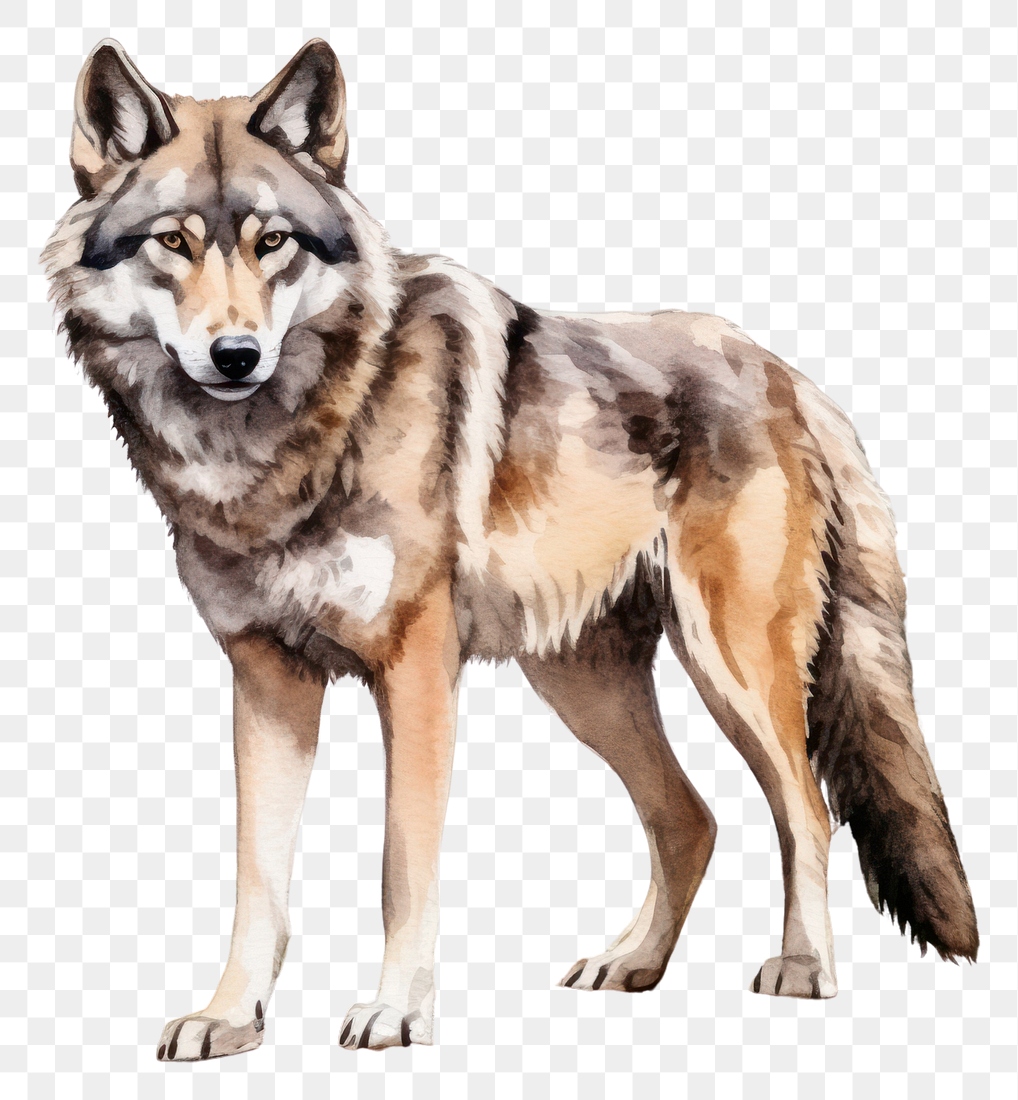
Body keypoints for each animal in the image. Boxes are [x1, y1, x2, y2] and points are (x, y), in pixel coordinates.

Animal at [43, 38, 979, 1058]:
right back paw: (631, 963)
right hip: (581, 683)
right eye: (172, 242)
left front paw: (395, 1013)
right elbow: (260, 877)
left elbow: (401, 864)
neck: (285, 446)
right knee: (690, 817)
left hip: (730, 668)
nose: (237, 355)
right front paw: (231, 1018)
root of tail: (791, 377)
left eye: (273, 242)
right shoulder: (265, 677)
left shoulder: (415, 670)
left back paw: (803, 968)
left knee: (803, 810)